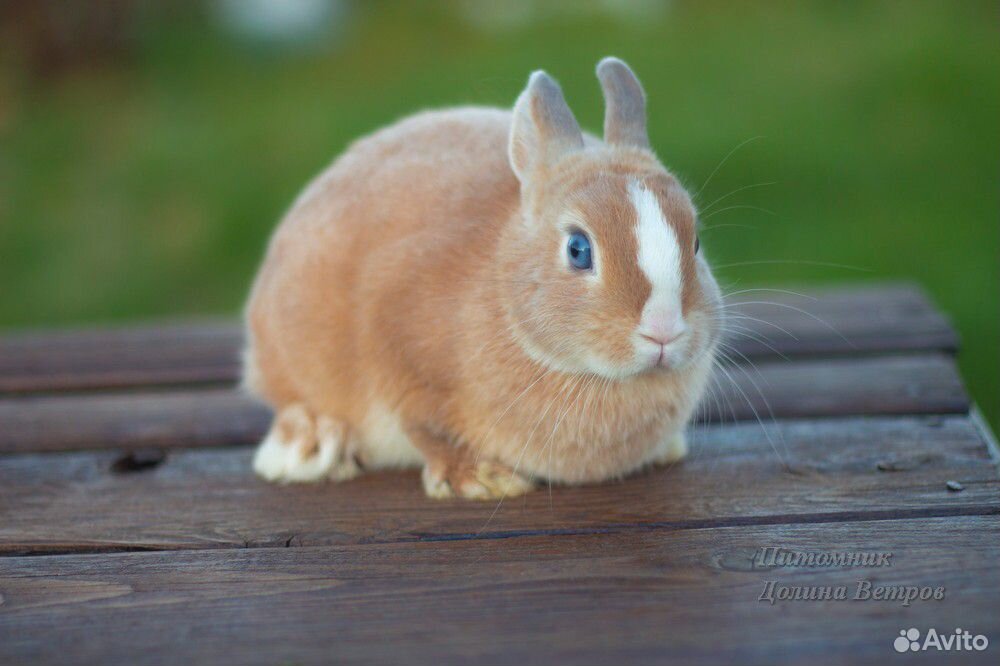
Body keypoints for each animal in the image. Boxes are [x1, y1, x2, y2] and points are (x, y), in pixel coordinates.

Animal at [243, 57, 722, 499]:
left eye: (696, 240)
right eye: (578, 249)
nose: (664, 330)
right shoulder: (398, 350)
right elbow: (424, 426)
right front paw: (483, 479)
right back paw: (311, 445)